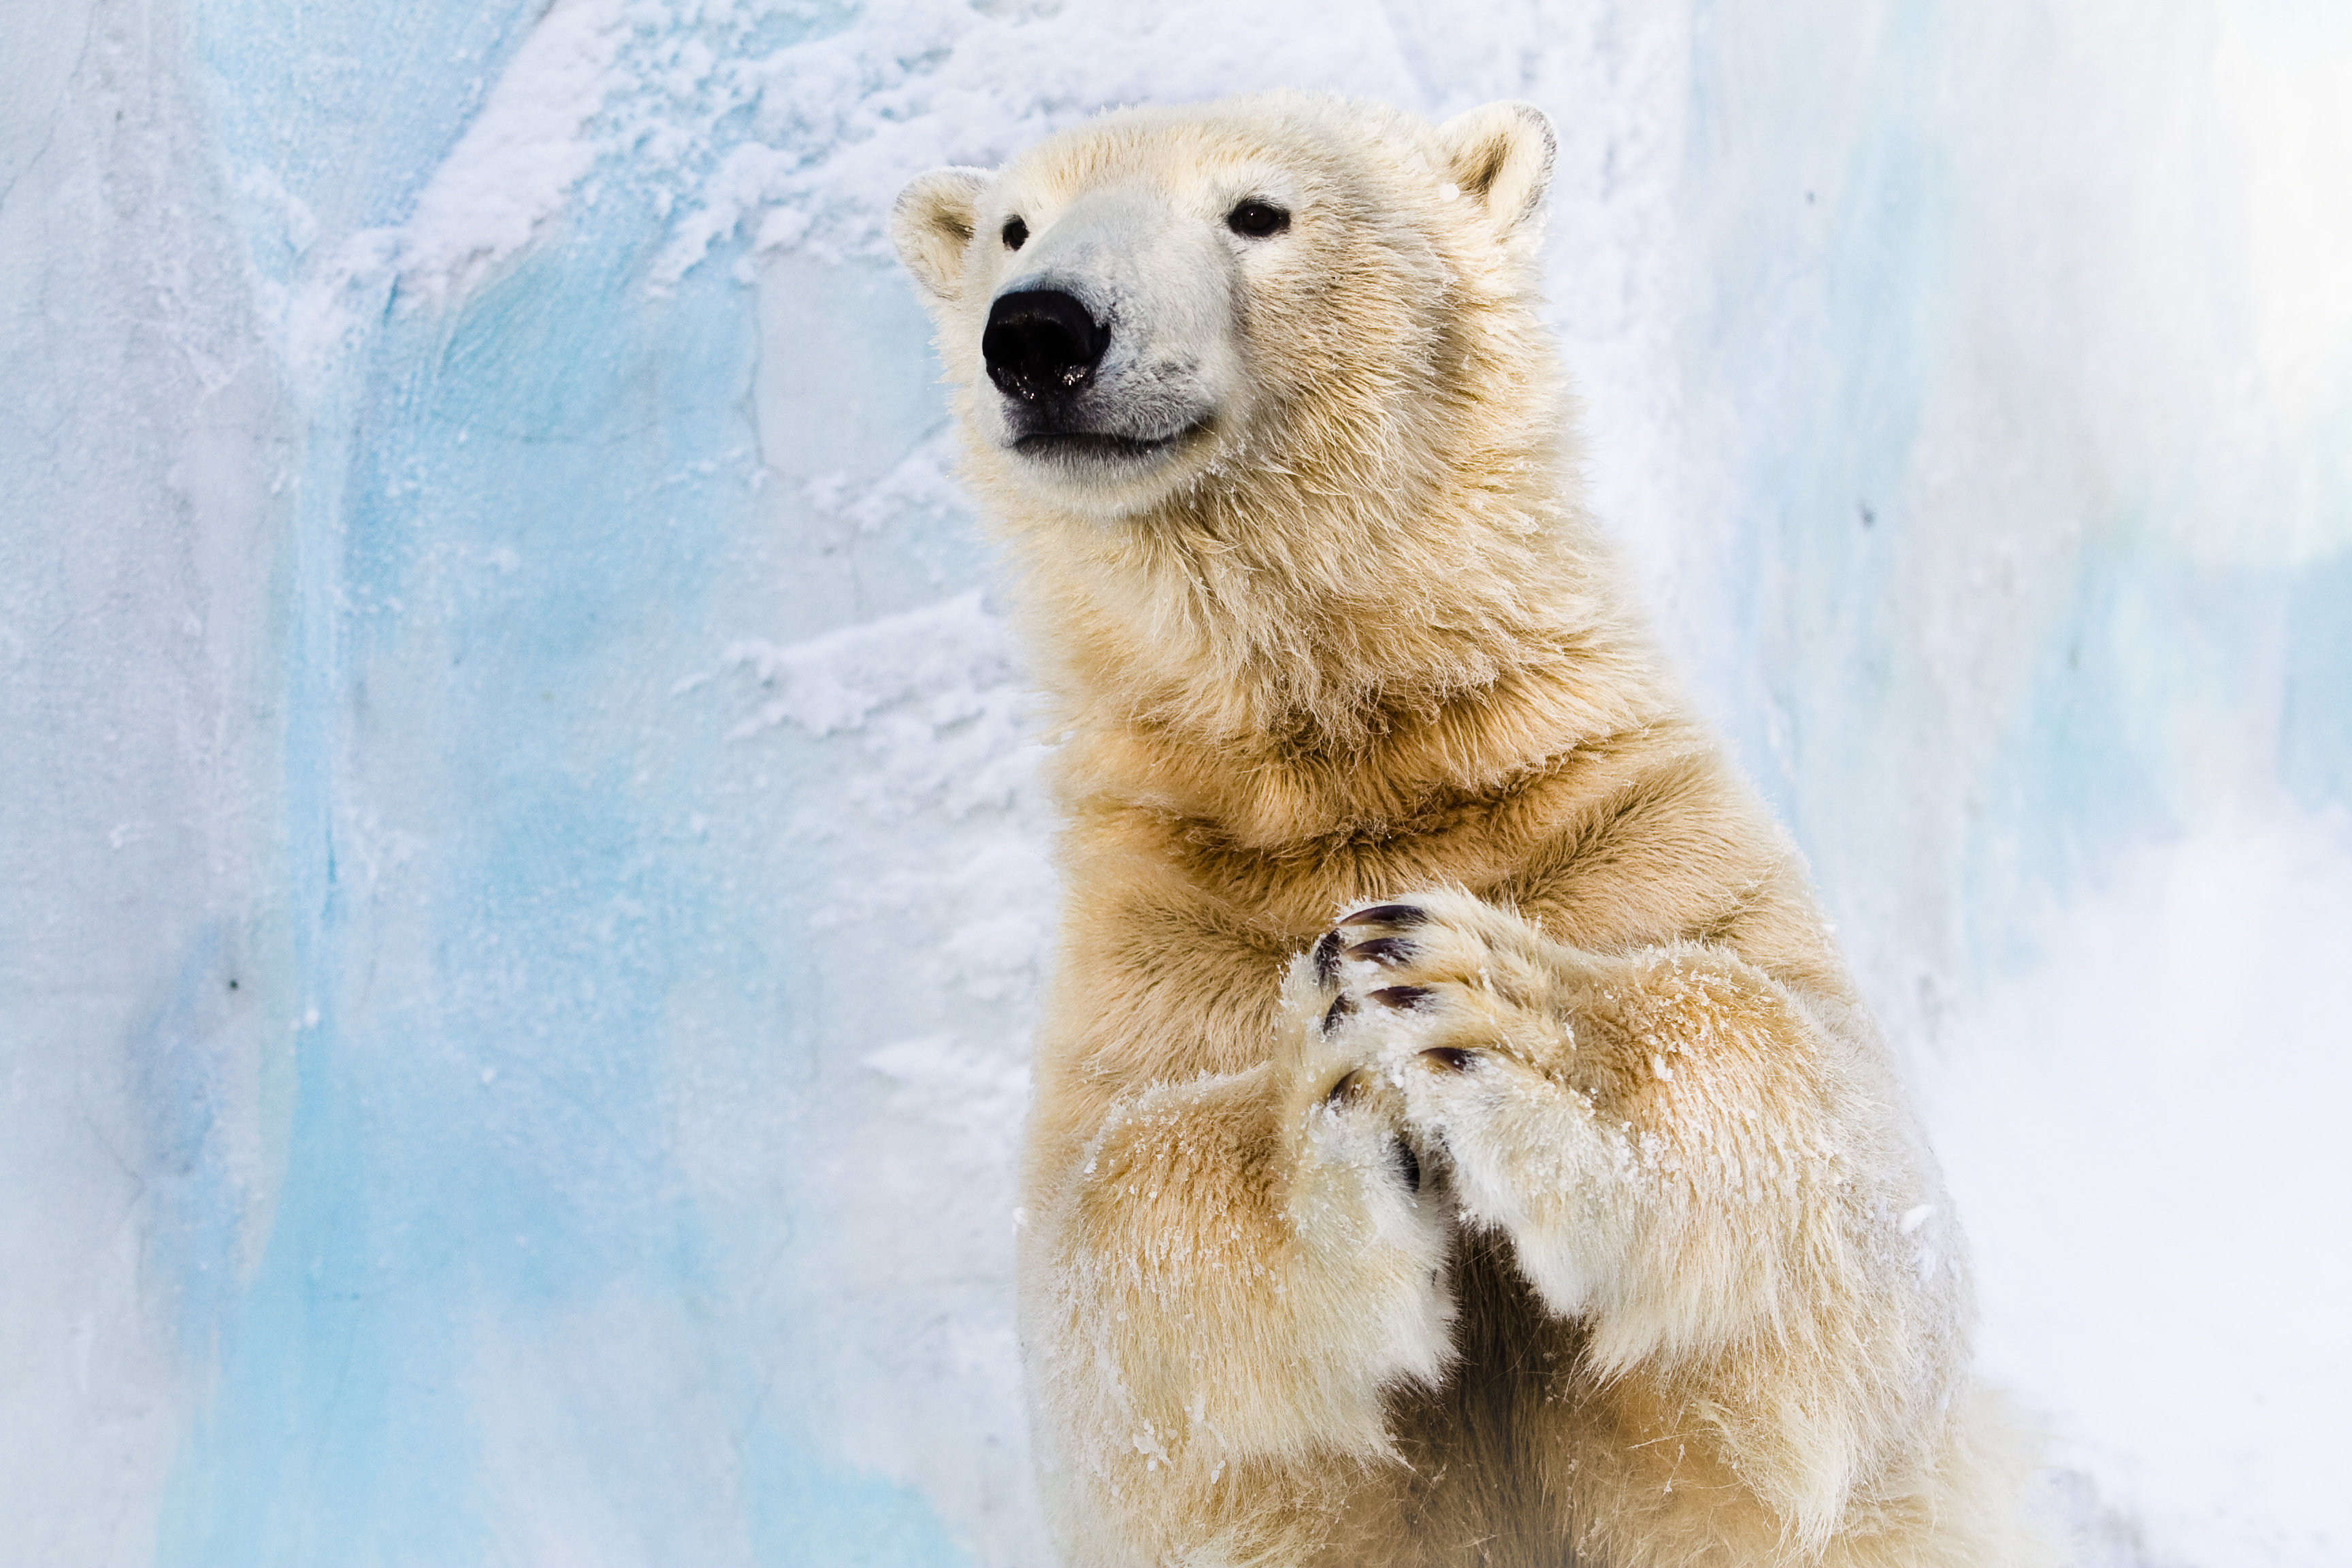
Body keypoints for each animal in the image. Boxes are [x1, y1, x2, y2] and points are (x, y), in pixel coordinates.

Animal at [890, 92, 2049, 1567]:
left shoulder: (1627, 833)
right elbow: (1103, 1311)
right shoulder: (1161, 947)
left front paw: (1496, 1005)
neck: (1354, 759)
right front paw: (1320, 1100)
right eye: (1012, 227)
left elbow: (1868, 1227)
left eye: (1258, 212)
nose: (1038, 332)